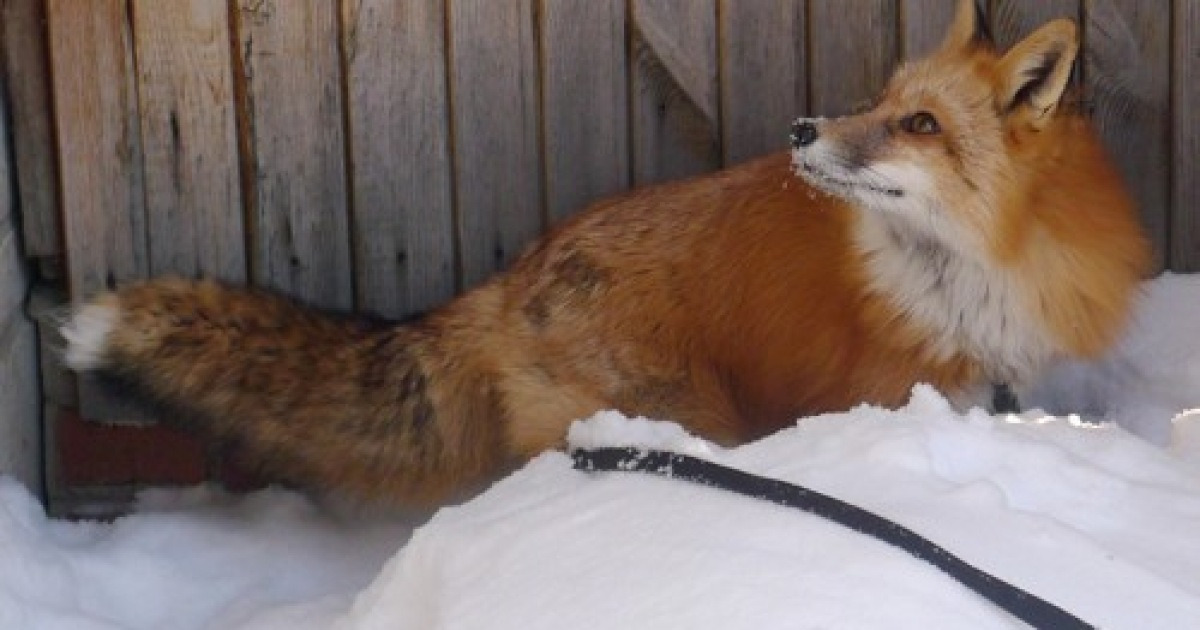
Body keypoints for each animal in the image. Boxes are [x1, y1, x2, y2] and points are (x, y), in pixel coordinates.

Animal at [62, 0, 1149, 503]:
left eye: (919, 123)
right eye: (877, 102)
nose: (801, 130)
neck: (969, 276)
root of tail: (506, 281)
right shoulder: (879, 393)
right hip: (682, 424)